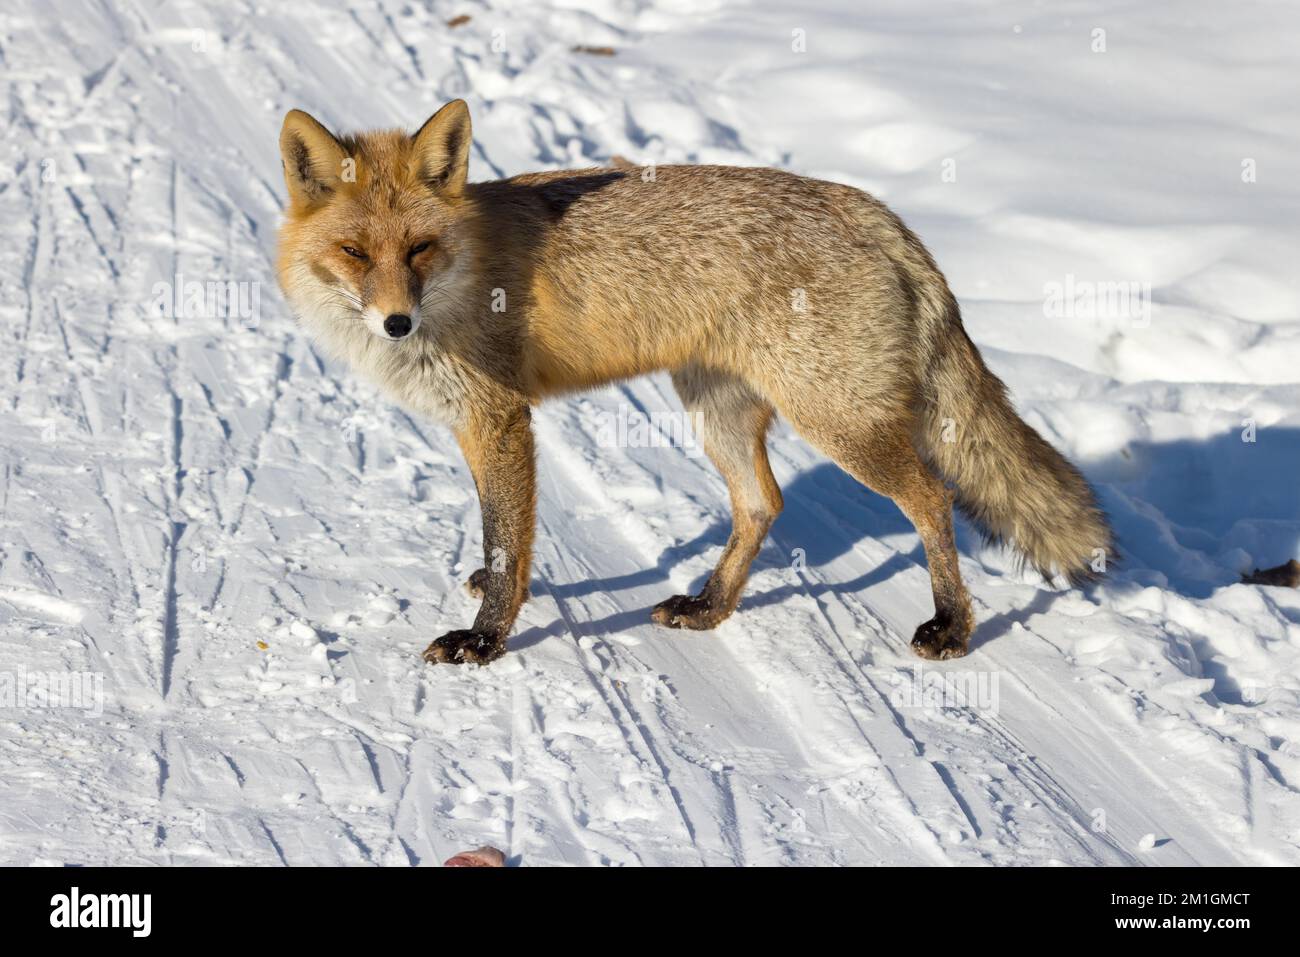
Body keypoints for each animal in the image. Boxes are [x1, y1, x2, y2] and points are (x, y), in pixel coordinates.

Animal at [275, 100, 1113, 666]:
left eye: (420, 248)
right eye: (355, 252)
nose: (396, 323)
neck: (464, 277)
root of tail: (869, 209)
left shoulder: (500, 418)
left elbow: (509, 543)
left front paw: (485, 641)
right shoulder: (473, 423)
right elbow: (500, 536)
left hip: (837, 423)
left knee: (933, 499)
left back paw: (953, 625)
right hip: (719, 410)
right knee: (762, 502)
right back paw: (710, 605)